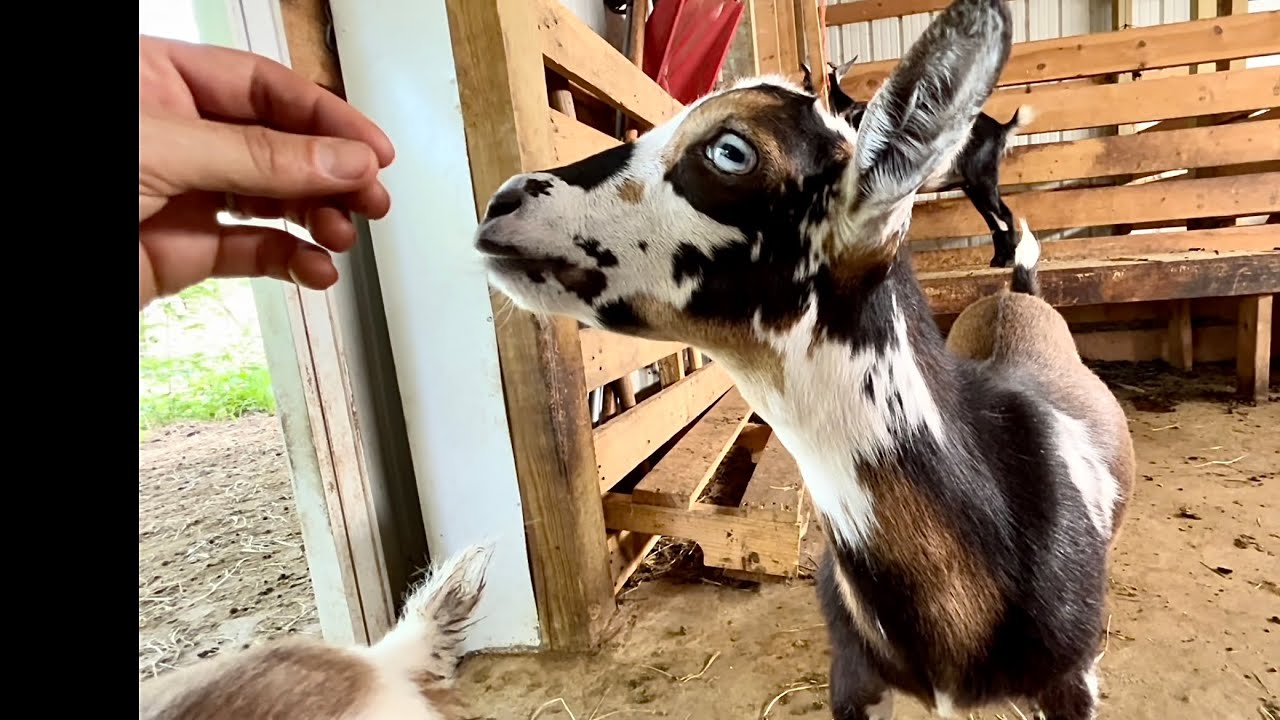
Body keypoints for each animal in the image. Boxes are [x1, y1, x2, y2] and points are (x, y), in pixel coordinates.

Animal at [802, 56, 1035, 269]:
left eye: (806, 78)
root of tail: (1000, 129)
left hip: (983, 177)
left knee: (1004, 215)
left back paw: (1010, 260)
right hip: (971, 185)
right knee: (993, 220)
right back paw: (998, 260)